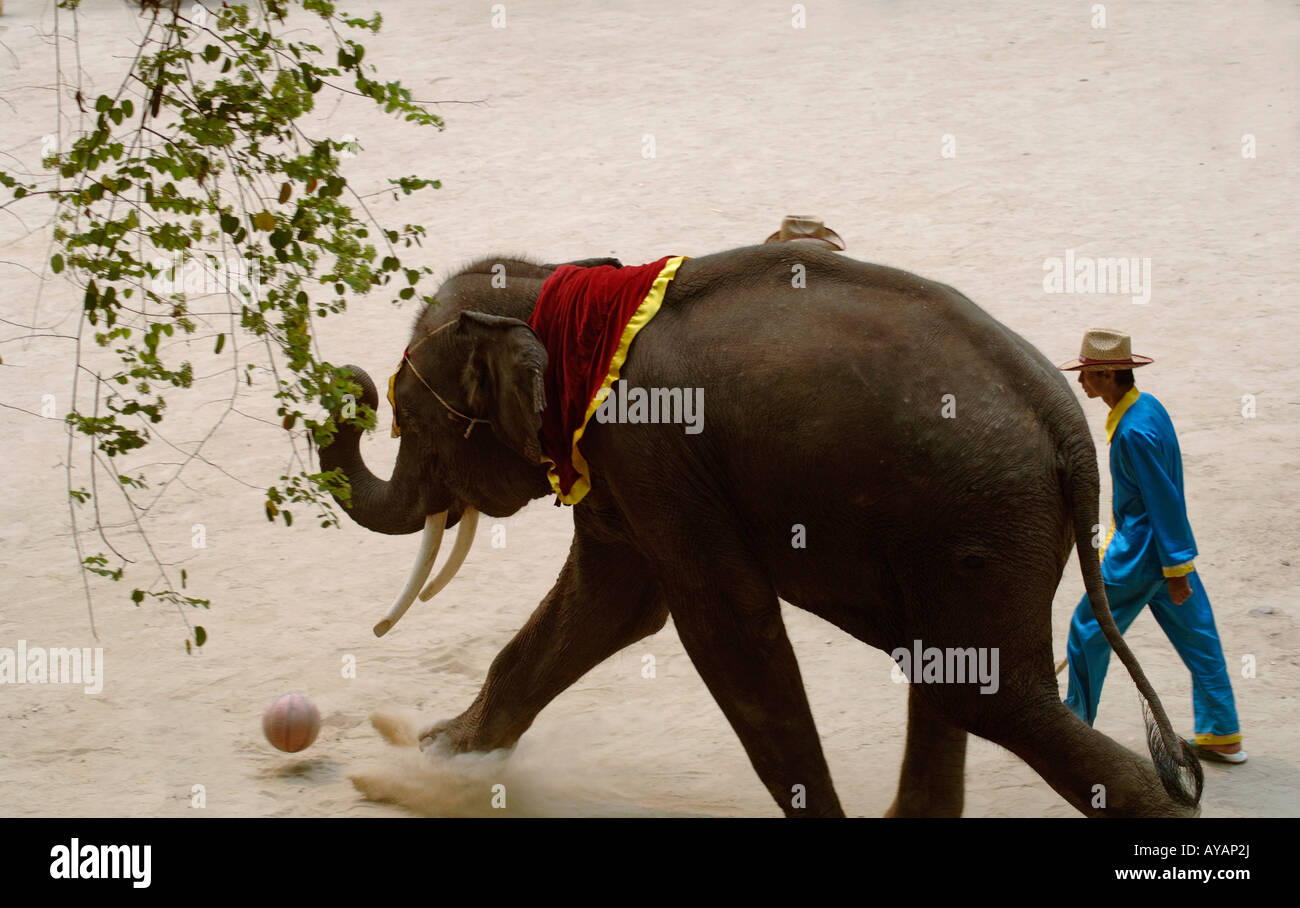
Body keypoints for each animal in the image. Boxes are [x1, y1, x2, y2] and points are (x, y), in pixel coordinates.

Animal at [319, 243, 1204, 817]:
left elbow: (723, 626)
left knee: (982, 693)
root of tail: (1066, 429)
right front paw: (428, 758)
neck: (563, 287)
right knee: (948, 671)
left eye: (409, 422)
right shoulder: (629, 466)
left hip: (980, 522)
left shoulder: (651, 449)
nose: (349, 383)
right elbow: (611, 605)